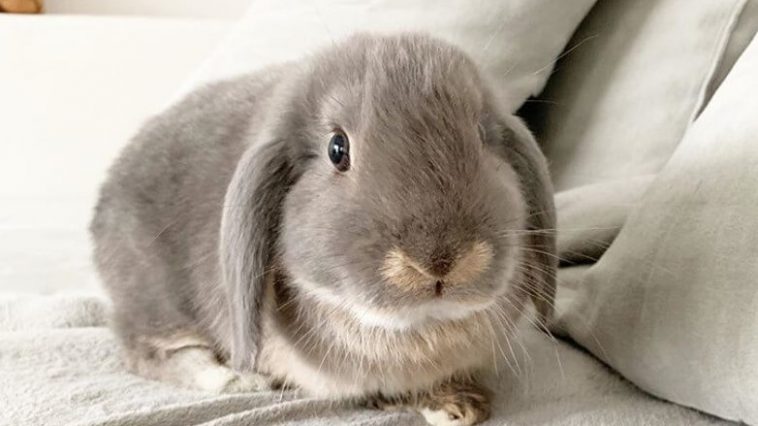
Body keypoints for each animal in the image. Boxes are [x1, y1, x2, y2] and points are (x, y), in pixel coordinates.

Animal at [90, 32, 556, 426]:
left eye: (481, 135)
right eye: (337, 149)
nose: (441, 263)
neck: (419, 329)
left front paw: (463, 403)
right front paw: (452, 406)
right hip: (155, 299)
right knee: (148, 351)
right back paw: (236, 380)